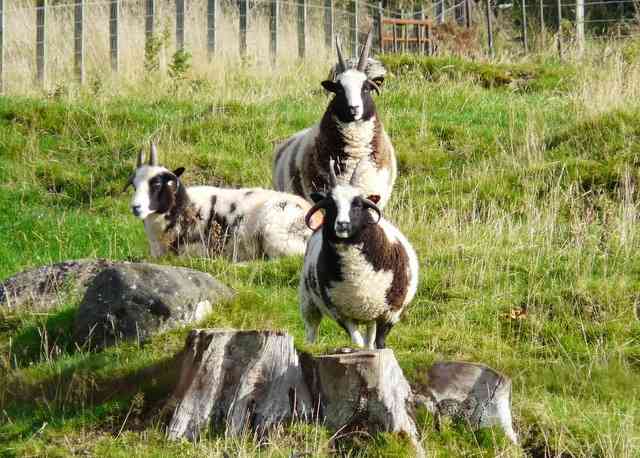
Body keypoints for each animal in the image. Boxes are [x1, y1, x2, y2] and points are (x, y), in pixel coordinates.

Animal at [299, 160, 419, 349]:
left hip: (370, 310)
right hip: (308, 299)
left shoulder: (390, 311)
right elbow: (358, 343)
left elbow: (379, 343)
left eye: (358, 204)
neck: (356, 274)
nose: (342, 224)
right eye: (330, 204)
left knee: (370, 337)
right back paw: (310, 346)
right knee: (312, 328)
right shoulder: (341, 314)